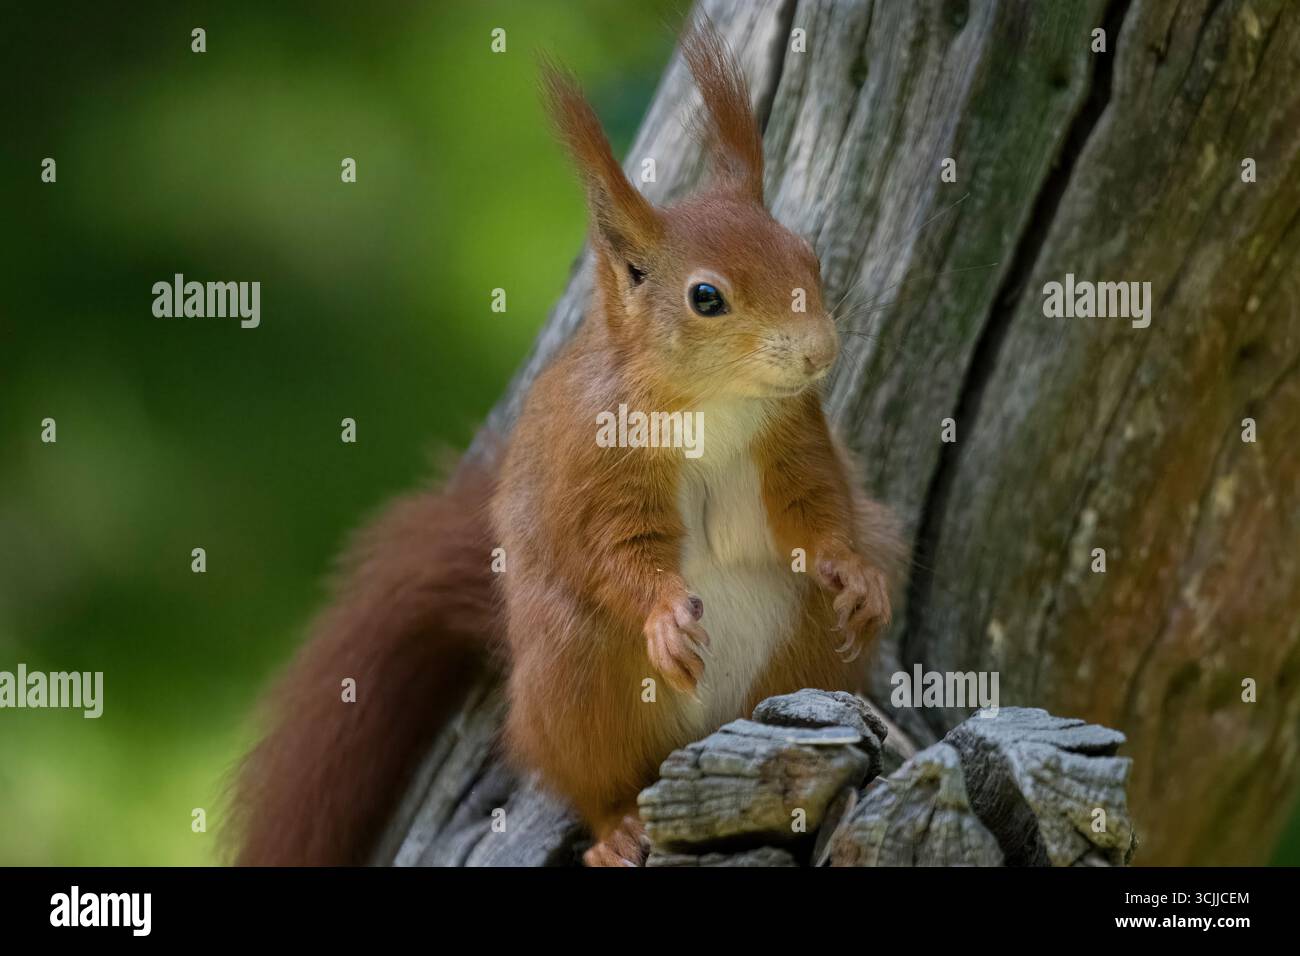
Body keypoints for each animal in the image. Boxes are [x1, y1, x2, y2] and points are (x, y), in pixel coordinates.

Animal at [230, 23, 903, 868]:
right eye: (706, 298)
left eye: (808, 256)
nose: (819, 352)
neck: (714, 406)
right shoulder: (596, 463)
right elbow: (612, 551)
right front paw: (663, 615)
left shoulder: (794, 439)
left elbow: (817, 512)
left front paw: (857, 573)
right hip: (575, 679)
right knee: (586, 775)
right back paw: (616, 830)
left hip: (797, 649)